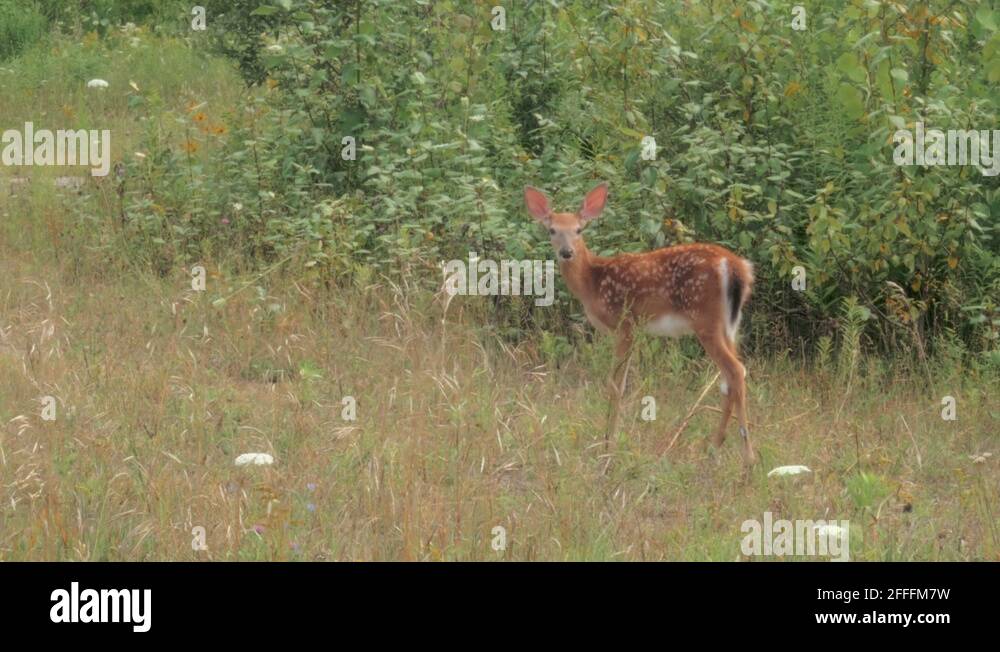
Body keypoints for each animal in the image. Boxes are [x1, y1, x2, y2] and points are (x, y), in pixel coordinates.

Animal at [524, 182, 757, 466]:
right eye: (552, 230)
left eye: (579, 229)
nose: (566, 252)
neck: (592, 283)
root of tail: (736, 267)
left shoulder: (625, 324)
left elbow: (617, 385)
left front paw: (608, 446)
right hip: (729, 324)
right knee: (729, 378)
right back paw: (715, 447)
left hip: (705, 319)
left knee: (735, 371)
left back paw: (747, 457)